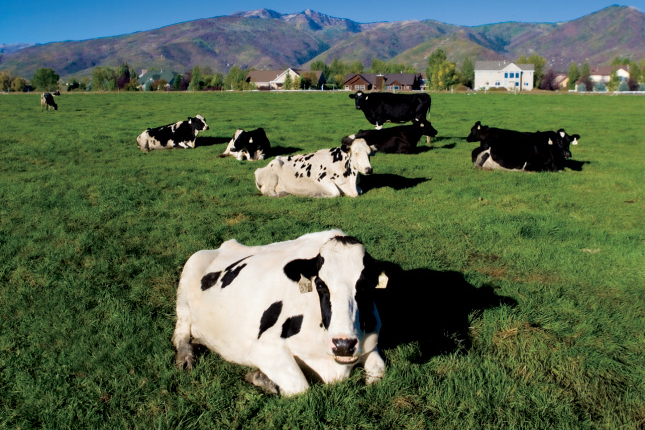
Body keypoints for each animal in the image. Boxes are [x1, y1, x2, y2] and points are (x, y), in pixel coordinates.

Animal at [172, 229, 389, 396]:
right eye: (320, 284)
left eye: (367, 286)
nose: (343, 345)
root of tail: (224, 245)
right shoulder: (264, 347)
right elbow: (300, 387)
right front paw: (261, 378)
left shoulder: (371, 344)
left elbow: (379, 372)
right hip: (186, 284)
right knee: (180, 333)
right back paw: (186, 357)